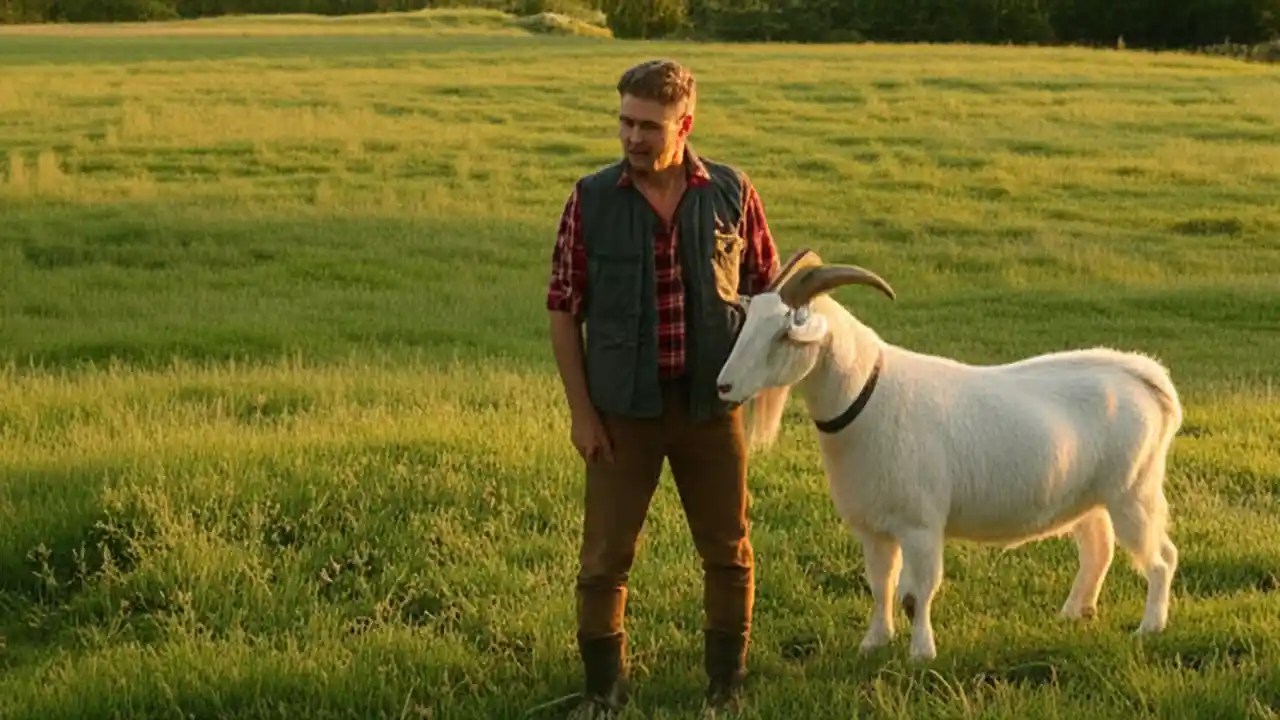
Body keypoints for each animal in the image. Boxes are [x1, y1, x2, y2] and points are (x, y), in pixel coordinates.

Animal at [722, 249, 1182, 662]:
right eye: (748, 322)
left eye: (783, 334)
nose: (723, 386)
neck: (868, 397)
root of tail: (1144, 375)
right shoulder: (873, 527)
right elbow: (881, 584)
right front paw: (873, 643)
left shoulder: (921, 524)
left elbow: (918, 592)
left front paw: (921, 654)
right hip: (1089, 497)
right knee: (1098, 549)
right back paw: (1074, 613)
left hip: (1133, 492)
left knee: (1162, 558)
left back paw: (1149, 628)